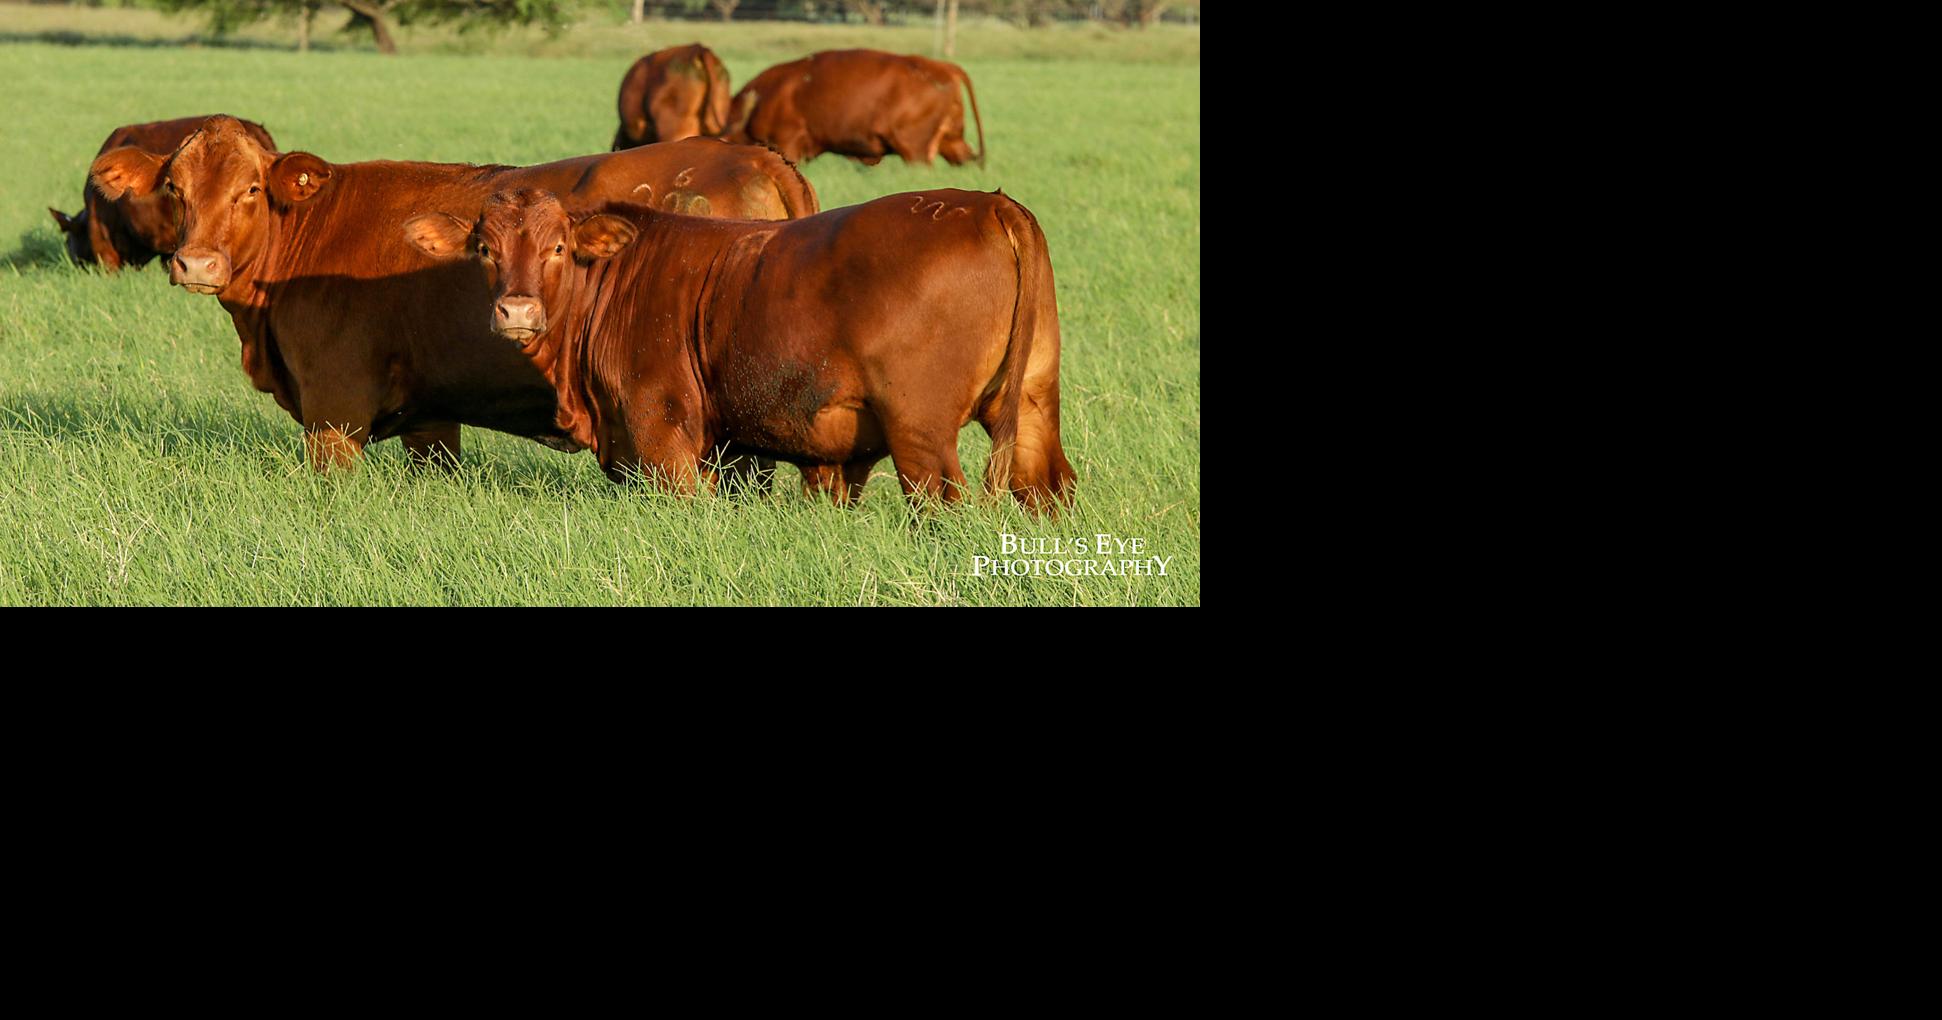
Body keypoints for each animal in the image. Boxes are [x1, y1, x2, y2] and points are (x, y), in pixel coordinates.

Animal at [87, 115, 818, 471]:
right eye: (175, 186)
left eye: (248, 189)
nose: (197, 263)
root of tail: (751, 154)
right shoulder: (431, 412)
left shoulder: (334, 407)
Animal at [400, 188, 1073, 512]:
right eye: (484, 249)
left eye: (559, 248)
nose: (516, 310)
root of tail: (989, 203)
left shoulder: (662, 432)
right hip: (1034, 405)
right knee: (1047, 490)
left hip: (920, 433)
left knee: (941, 503)